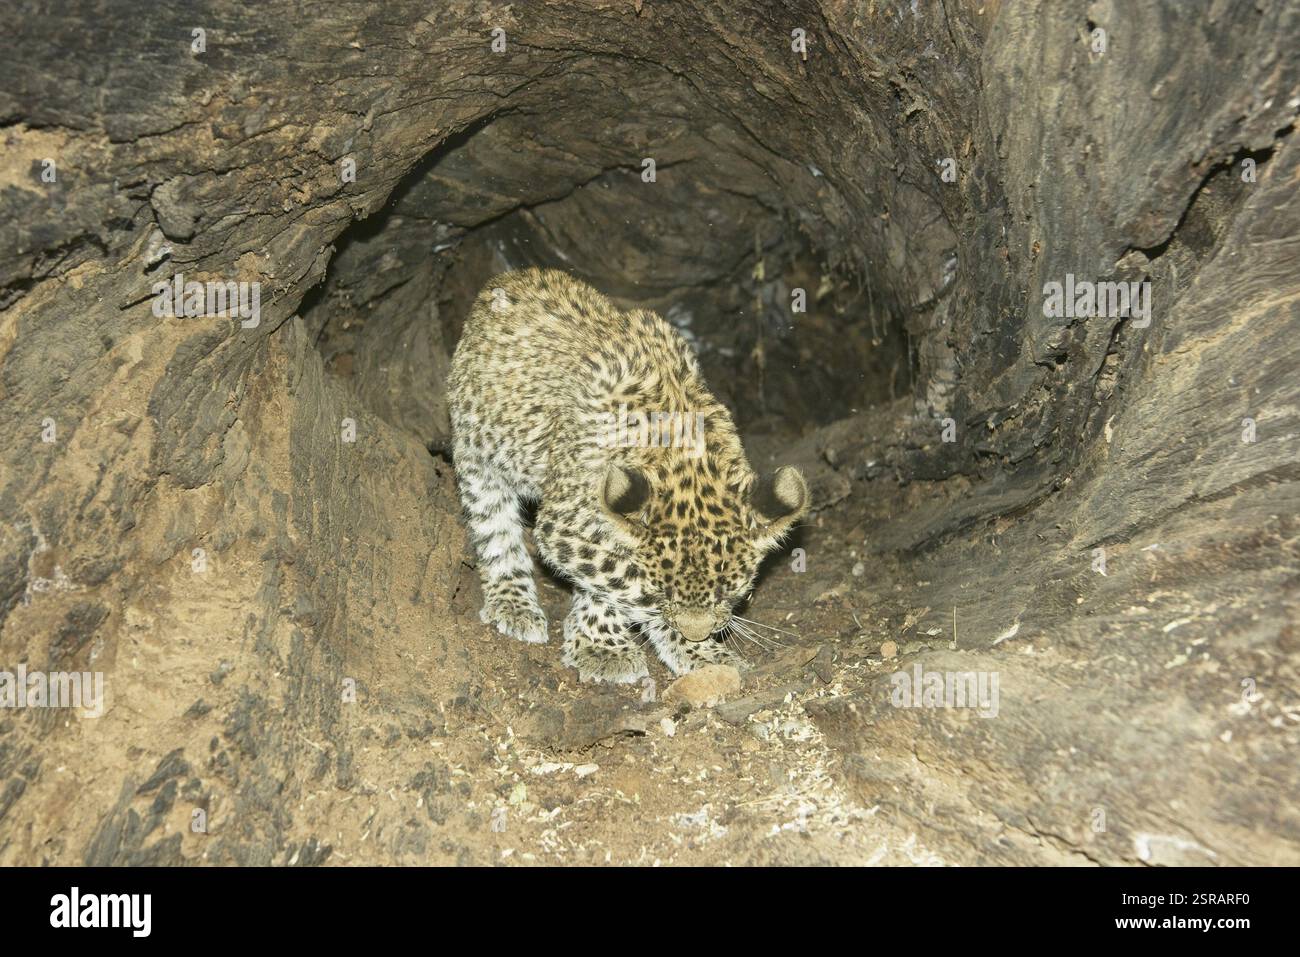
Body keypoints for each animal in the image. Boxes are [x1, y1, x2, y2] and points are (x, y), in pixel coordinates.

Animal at [447, 268, 809, 684]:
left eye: (728, 595)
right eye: (663, 593)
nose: (696, 634)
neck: (684, 457)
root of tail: (512, 276)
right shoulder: (566, 525)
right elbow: (615, 580)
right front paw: (610, 645)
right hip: (479, 454)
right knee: (494, 528)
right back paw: (514, 604)